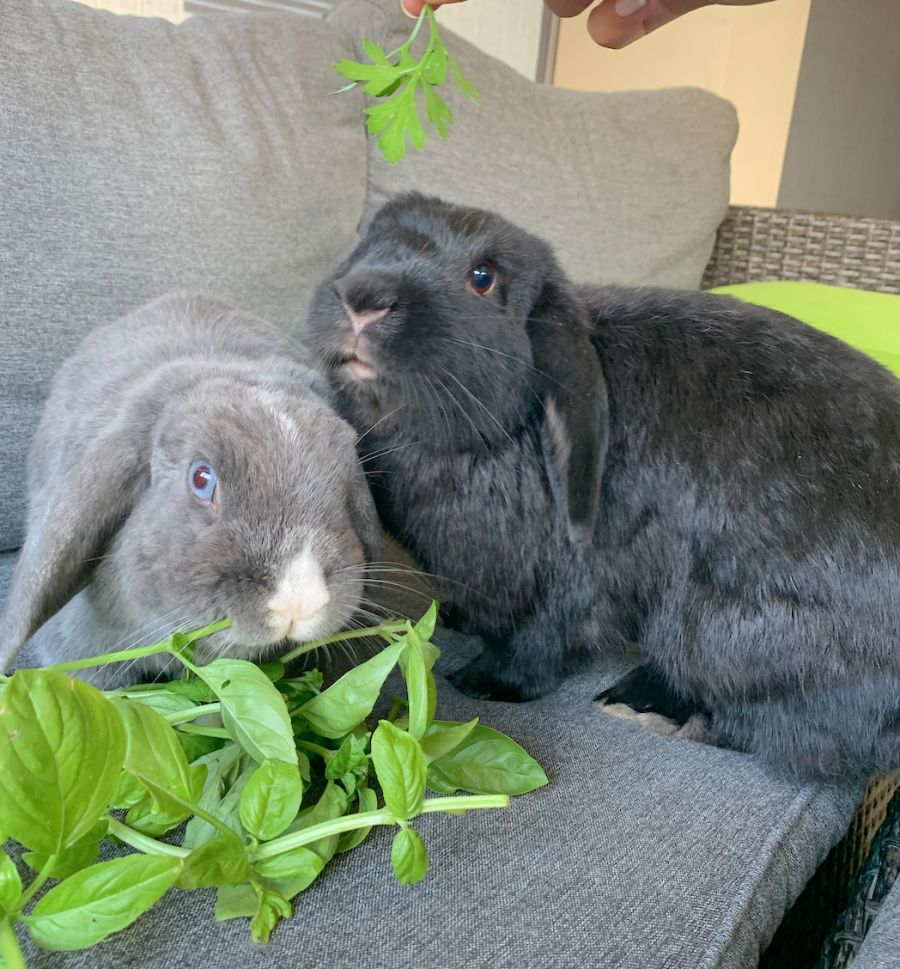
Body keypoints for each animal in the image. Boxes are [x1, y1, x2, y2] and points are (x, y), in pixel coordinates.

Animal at [306, 192, 900, 783]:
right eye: (367, 239)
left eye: (483, 277)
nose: (363, 298)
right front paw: (455, 619)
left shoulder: (558, 584)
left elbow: (535, 644)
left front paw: (484, 683)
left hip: (724, 635)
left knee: (794, 735)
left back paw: (648, 709)